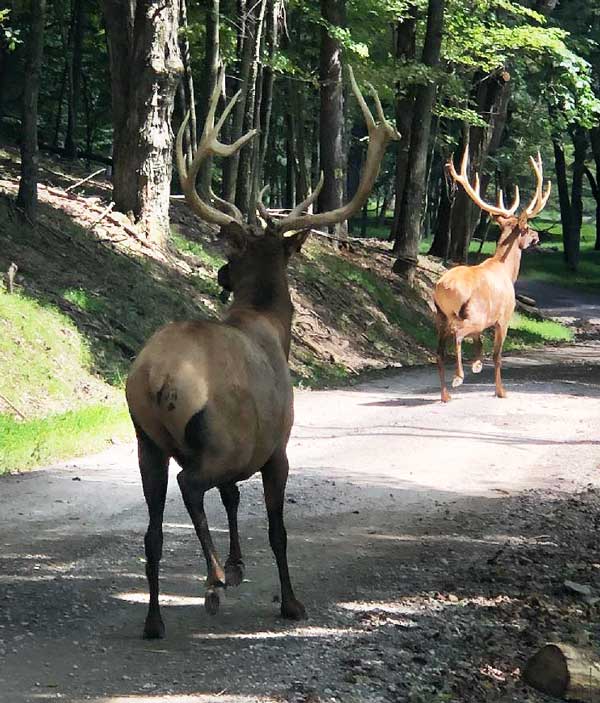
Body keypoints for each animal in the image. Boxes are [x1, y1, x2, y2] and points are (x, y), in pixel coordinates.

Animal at [125, 65, 399, 639]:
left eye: (239, 251)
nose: (222, 272)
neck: (272, 328)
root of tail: (156, 380)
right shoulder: (275, 446)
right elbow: (277, 529)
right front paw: (289, 600)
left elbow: (232, 500)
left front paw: (236, 565)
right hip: (217, 439)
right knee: (190, 485)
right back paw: (209, 581)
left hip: (146, 439)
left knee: (153, 528)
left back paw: (156, 617)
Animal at [434, 148, 551, 403]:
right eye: (527, 228)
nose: (537, 236)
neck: (507, 271)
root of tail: (443, 288)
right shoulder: (503, 317)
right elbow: (497, 356)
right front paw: (500, 390)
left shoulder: (486, 323)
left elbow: (479, 341)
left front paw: (477, 363)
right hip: (470, 314)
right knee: (458, 334)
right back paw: (458, 377)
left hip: (441, 315)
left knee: (439, 351)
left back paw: (445, 395)